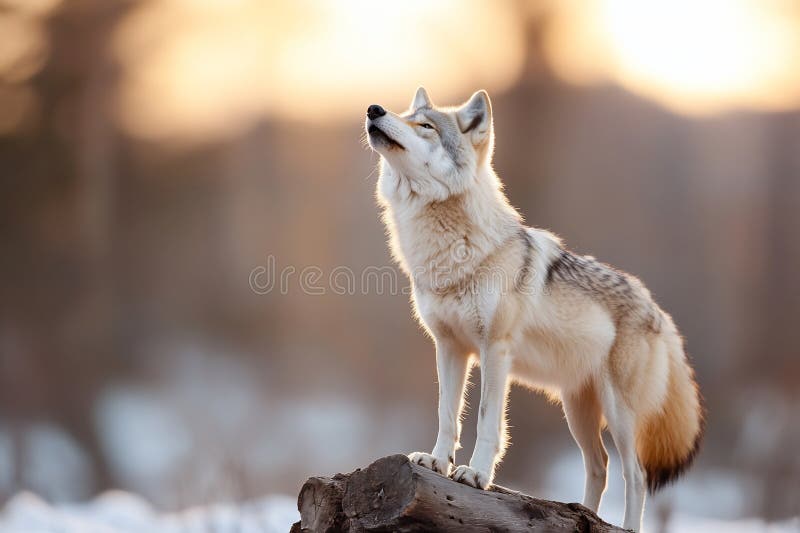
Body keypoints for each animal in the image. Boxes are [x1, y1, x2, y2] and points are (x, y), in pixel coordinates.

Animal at [364, 87, 704, 531]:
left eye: (425, 125)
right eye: (406, 114)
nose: (374, 110)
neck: (452, 251)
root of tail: (660, 314)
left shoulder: (495, 350)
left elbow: (487, 420)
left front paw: (476, 475)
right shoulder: (450, 347)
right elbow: (446, 413)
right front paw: (437, 462)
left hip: (619, 415)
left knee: (636, 475)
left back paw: (625, 525)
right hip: (577, 412)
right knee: (600, 466)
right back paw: (581, 513)